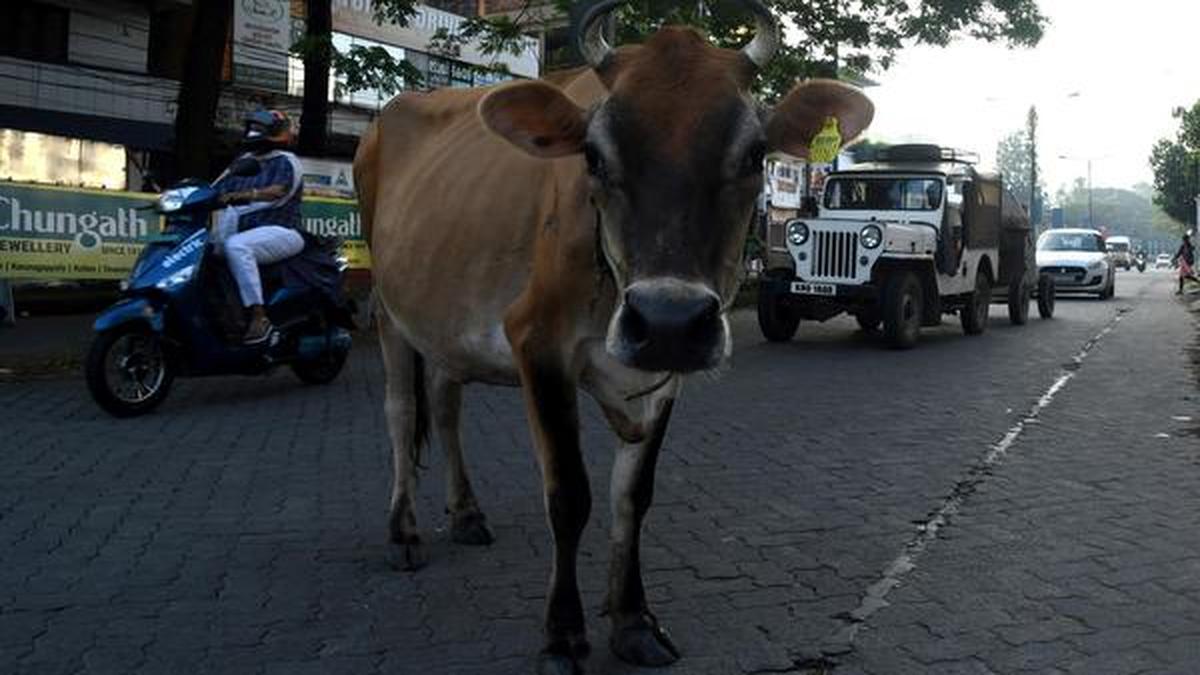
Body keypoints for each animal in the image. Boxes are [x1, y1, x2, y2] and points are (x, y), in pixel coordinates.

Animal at [352, 0, 873, 671]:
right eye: (594, 157)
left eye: (756, 154)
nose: (669, 320)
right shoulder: (536, 343)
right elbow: (569, 495)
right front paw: (562, 634)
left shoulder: (667, 370)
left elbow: (633, 495)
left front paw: (632, 620)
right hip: (388, 307)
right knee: (401, 412)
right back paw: (404, 531)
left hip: (446, 319)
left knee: (444, 403)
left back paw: (465, 513)